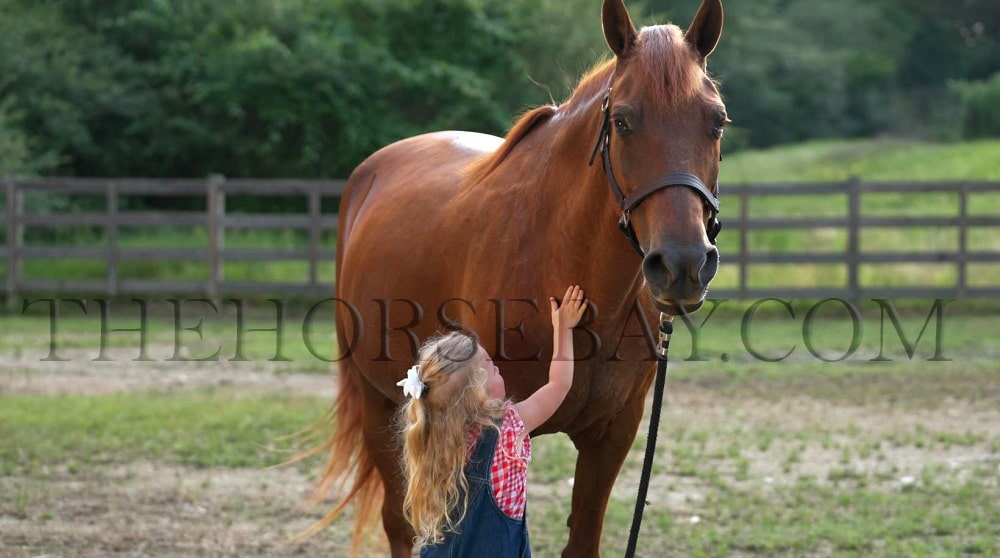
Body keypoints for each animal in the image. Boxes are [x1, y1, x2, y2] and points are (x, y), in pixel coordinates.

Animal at [313, 0, 727, 555]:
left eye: (717, 121)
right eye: (622, 121)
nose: (683, 264)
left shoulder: (611, 437)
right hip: (377, 402)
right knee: (399, 524)